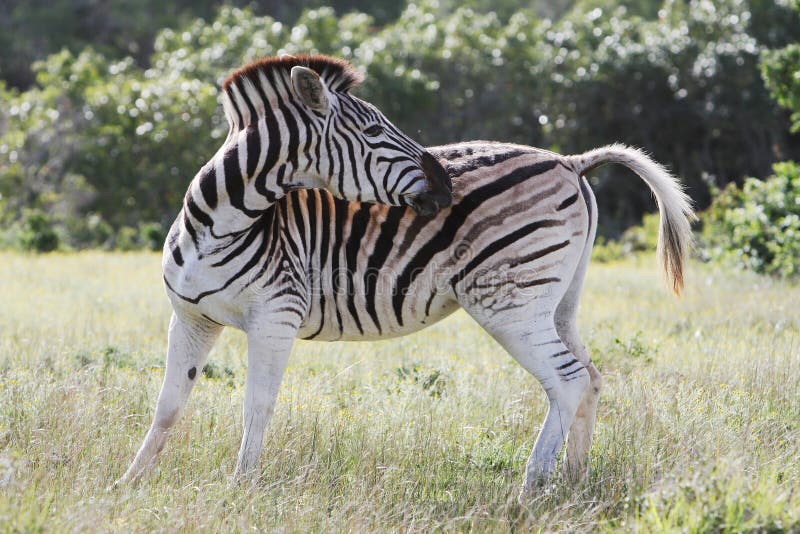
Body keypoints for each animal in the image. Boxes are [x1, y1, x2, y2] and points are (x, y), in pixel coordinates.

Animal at [116, 55, 694, 498]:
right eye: (374, 130)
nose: (446, 186)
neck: (221, 224)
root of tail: (571, 161)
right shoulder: (190, 318)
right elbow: (167, 406)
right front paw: (130, 482)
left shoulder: (275, 317)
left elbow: (256, 407)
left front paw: (241, 488)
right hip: (557, 303)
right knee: (590, 378)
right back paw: (573, 482)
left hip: (511, 303)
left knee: (567, 380)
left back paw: (530, 490)